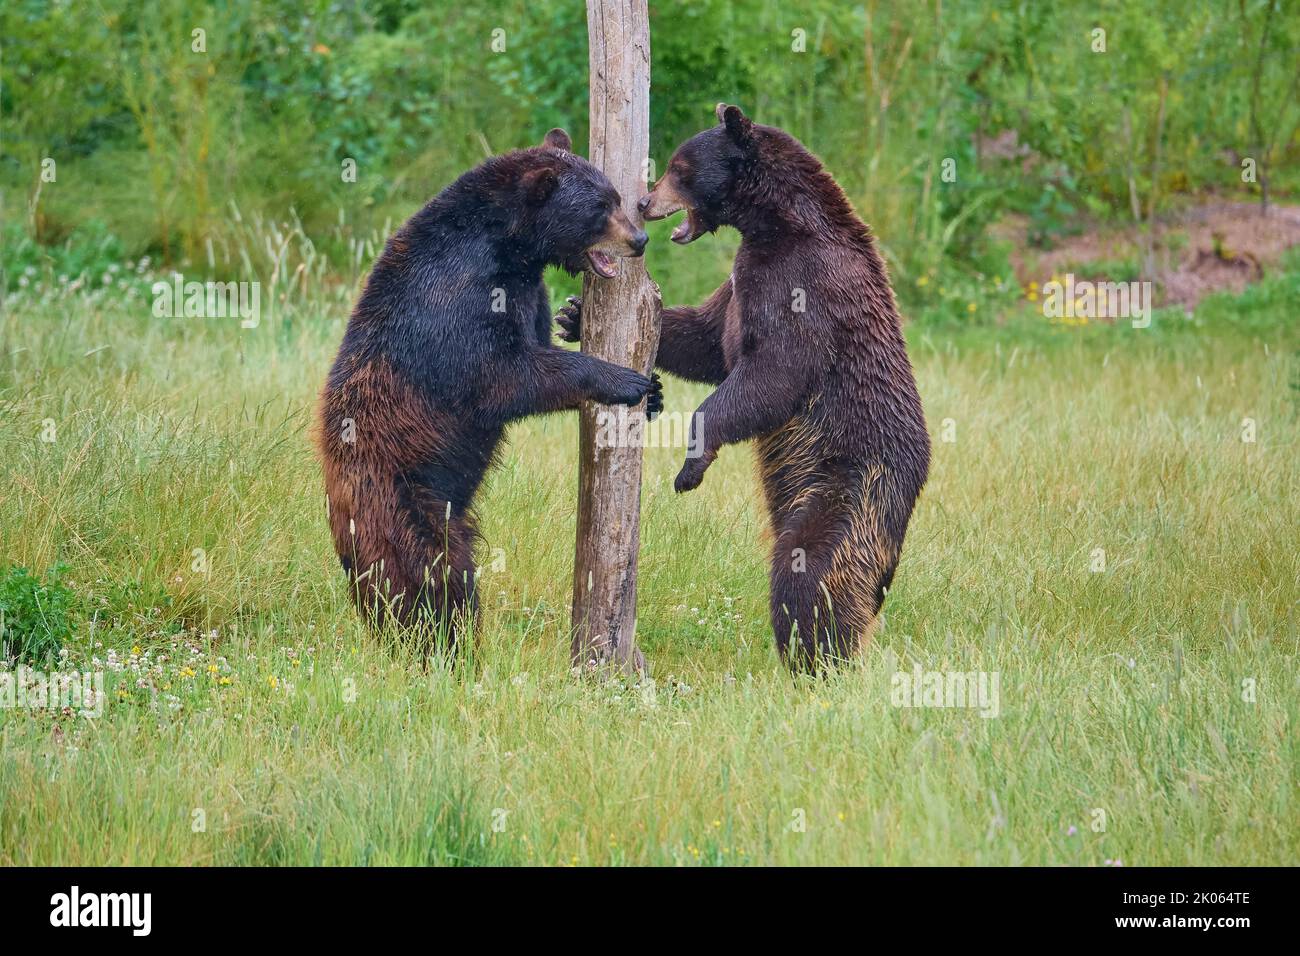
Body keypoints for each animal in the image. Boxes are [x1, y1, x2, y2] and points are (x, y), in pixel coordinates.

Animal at [317, 128, 663, 654]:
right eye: (600, 207)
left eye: (617, 198)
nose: (639, 240)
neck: (509, 246)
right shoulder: (457, 299)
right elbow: (503, 376)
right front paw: (625, 379)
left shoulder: (525, 288)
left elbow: (535, 345)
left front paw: (643, 379)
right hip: (401, 500)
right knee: (432, 574)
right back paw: (445, 643)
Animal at [561, 104, 929, 672]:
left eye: (679, 166)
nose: (644, 201)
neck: (776, 225)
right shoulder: (745, 279)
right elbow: (708, 337)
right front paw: (573, 316)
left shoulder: (805, 288)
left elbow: (771, 375)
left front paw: (690, 466)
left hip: (853, 484)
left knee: (814, 569)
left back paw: (818, 659)